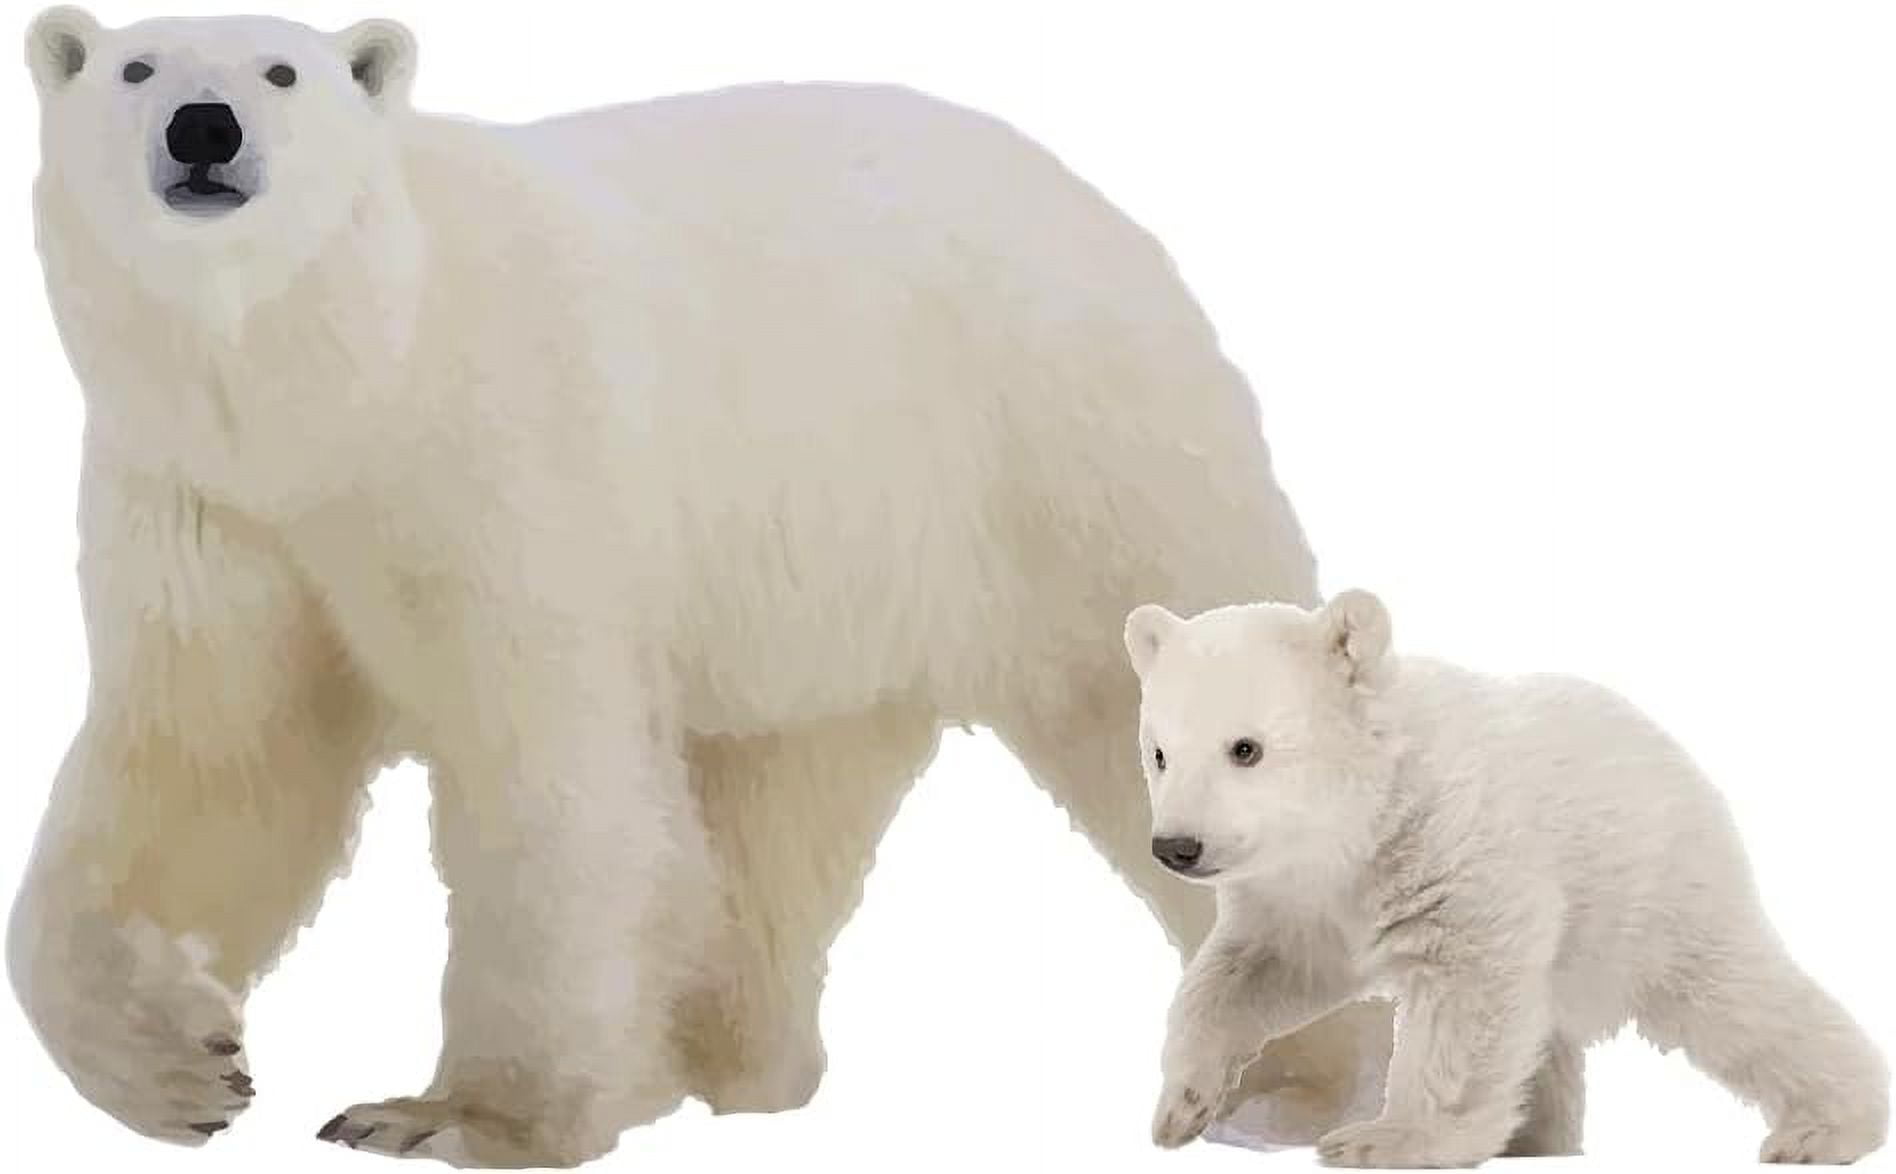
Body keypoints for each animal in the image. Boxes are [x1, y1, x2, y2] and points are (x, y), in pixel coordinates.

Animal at [12, 8, 1392, 1167]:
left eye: (282, 71)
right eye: (136, 67)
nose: (203, 128)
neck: (348, 378)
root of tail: (1103, 206)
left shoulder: (500, 458)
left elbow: (549, 770)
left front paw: (458, 1115)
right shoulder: (212, 499)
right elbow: (211, 756)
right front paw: (181, 1066)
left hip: (1056, 445)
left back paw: (1288, 1088)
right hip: (835, 576)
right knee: (772, 806)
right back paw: (731, 1055)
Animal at [1123, 592, 1889, 1167]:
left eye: (1245, 748)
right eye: (1159, 753)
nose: (1176, 847)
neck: (1366, 814)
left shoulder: (1450, 846)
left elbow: (1465, 991)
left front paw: (1388, 1139)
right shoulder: (1301, 895)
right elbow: (1251, 975)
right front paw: (1182, 1105)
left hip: (1646, 889)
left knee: (1732, 997)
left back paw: (1825, 1127)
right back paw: (1539, 1138)